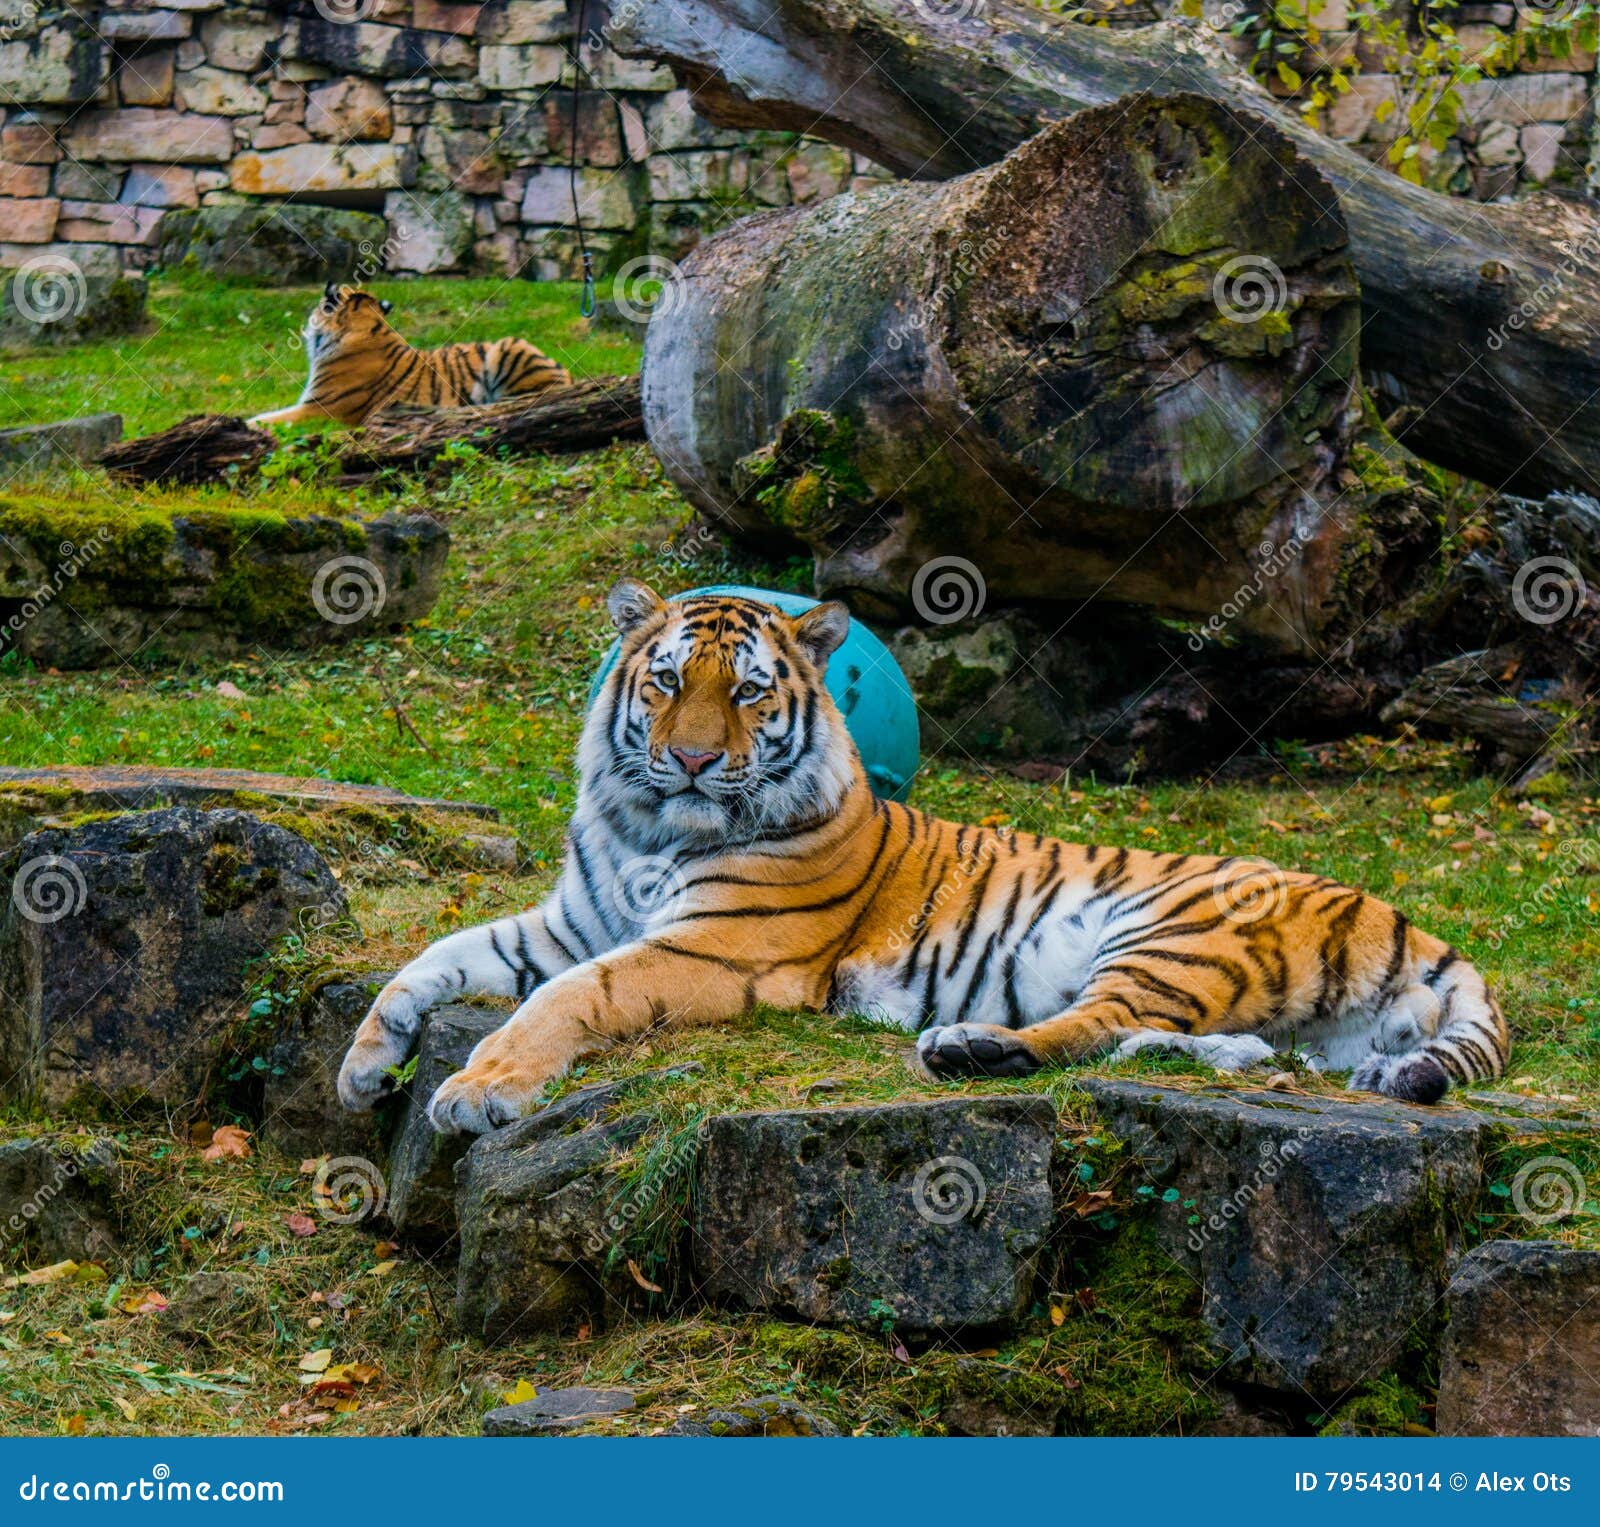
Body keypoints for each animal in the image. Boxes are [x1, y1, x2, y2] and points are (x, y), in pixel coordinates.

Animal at [248, 284, 570, 428]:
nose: (328, 285)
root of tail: (566, 373)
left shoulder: (322, 408)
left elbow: (270, 418)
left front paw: (247, 423)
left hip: (508, 346)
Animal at [336, 581, 1511, 1135]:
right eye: (666, 680)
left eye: (747, 692)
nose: (691, 759)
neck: (648, 826)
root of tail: (1405, 919)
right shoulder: (570, 920)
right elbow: (433, 957)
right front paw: (363, 1063)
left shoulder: (712, 951)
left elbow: (565, 998)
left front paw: (478, 1091)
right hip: (1248, 1006)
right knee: (1202, 1046)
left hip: (1170, 932)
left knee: (1091, 1028)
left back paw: (969, 1047)